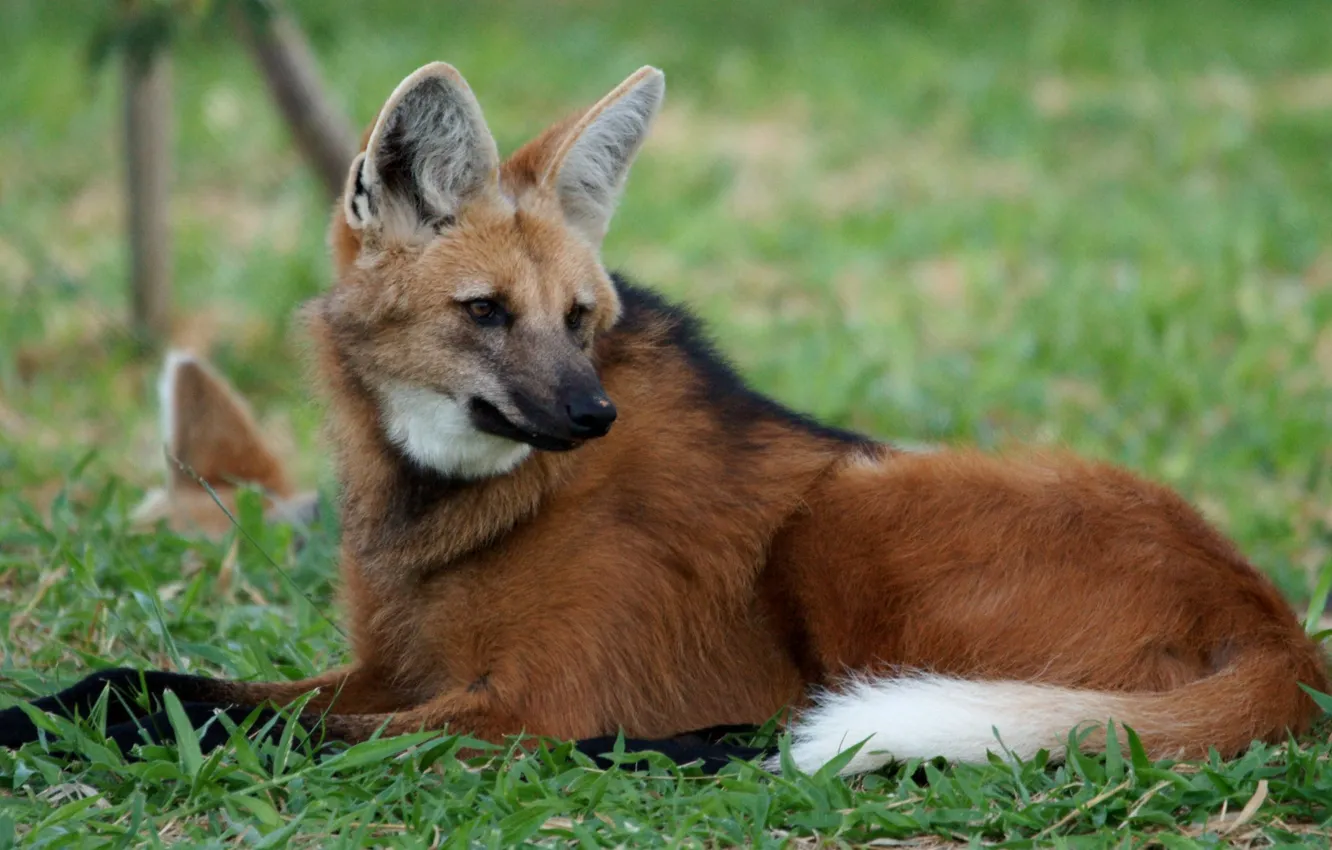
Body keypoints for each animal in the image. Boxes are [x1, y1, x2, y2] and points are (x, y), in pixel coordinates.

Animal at [3, 62, 1327, 778]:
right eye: (486, 312)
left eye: (581, 317)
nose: (592, 413)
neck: (450, 504)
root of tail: (1278, 629)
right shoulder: (391, 665)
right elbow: (161, 685)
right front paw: (41, 710)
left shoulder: (514, 704)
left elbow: (273, 730)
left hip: (846, 516)